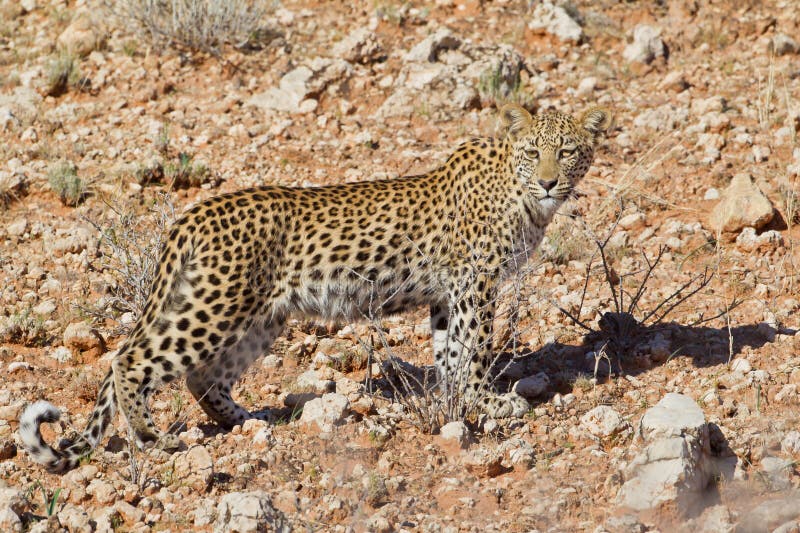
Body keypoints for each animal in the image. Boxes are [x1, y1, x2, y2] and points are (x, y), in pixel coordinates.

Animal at [20, 103, 611, 473]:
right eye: (534, 152)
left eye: (568, 152)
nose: (550, 182)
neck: (522, 195)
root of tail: (194, 214)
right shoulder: (475, 284)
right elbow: (475, 349)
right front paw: (487, 402)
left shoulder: (448, 296)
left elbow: (451, 352)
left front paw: (456, 404)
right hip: (216, 307)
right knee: (133, 361)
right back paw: (152, 436)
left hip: (259, 319)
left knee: (203, 378)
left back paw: (257, 420)